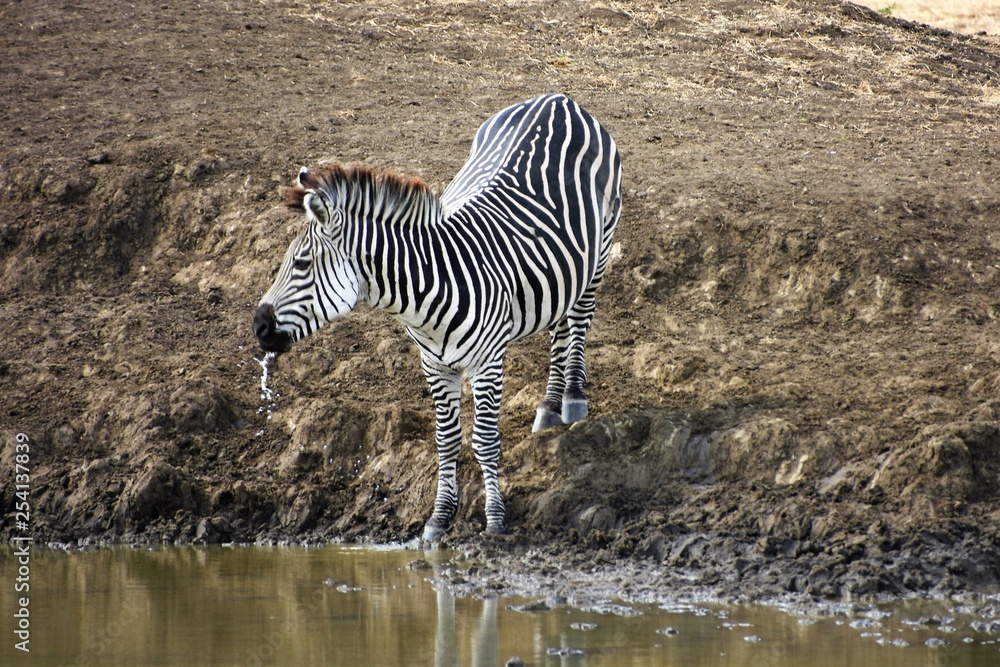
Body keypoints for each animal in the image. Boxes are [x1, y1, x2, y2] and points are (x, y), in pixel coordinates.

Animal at [254, 93, 622, 541]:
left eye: (302, 264)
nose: (258, 326)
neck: (428, 292)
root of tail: (558, 98)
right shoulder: (434, 364)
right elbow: (446, 441)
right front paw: (439, 518)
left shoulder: (487, 363)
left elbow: (485, 441)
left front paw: (494, 519)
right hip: (559, 268)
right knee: (559, 326)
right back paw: (550, 405)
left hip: (600, 249)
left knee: (579, 321)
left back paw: (571, 397)